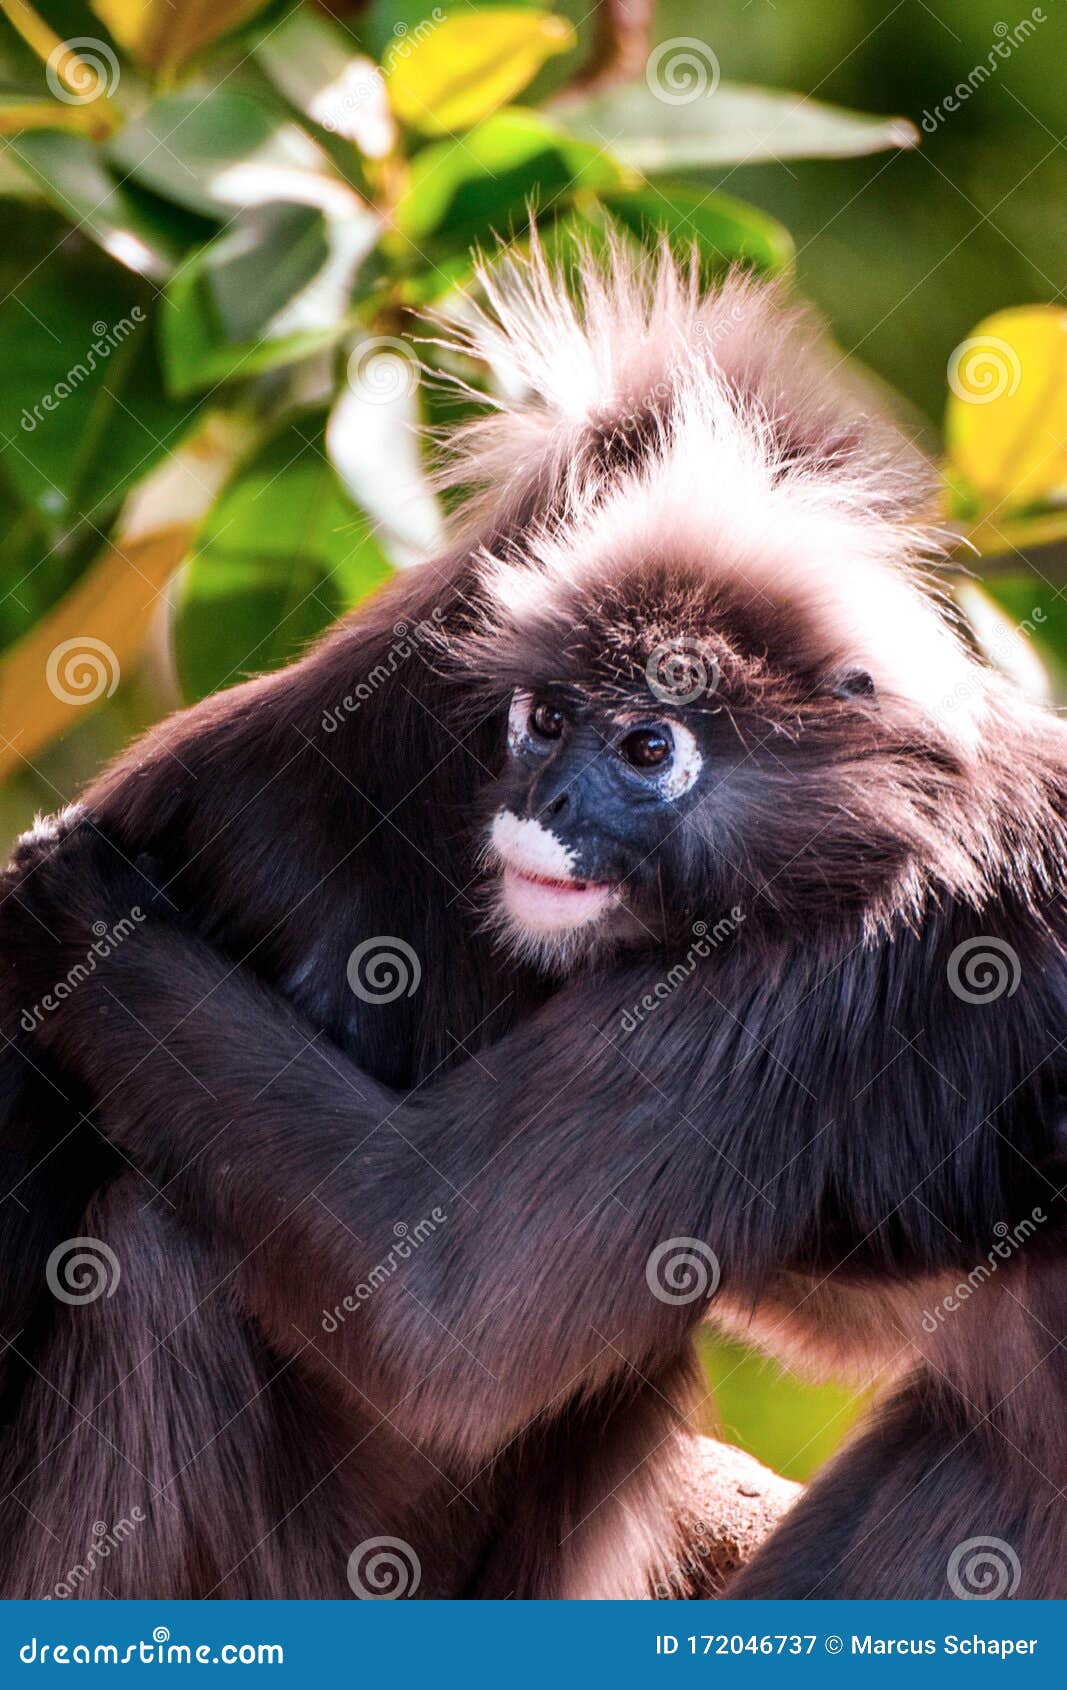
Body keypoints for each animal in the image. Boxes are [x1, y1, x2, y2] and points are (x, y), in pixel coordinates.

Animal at [6, 243, 1067, 1600]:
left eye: (647, 746)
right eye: (547, 721)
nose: (543, 799)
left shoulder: (810, 977)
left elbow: (444, 1310)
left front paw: (71, 895)